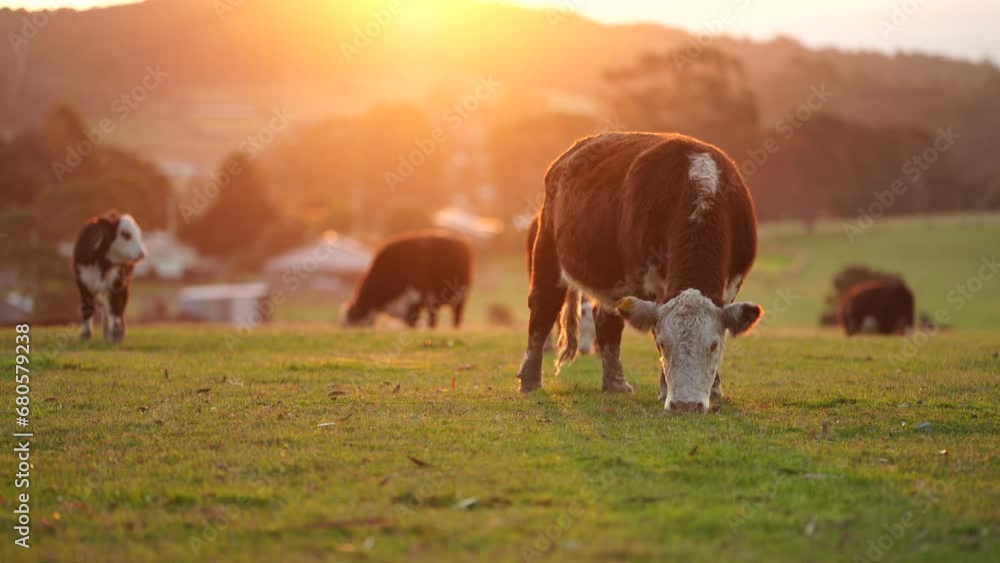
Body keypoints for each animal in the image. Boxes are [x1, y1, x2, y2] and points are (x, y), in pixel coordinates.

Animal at [73, 210, 148, 342]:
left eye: (138, 234)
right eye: (125, 234)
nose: (142, 254)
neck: (101, 261)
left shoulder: (117, 282)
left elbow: (116, 307)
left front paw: (117, 335)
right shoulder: (83, 282)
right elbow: (87, 308)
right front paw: (85, 335)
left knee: (117, 307)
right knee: (105, 307)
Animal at [343, 231, 472, 328]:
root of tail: (462, 241)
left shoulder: (417, 296)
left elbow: (412, 322)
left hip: (460, 297)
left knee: (456, 317)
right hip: (435, 302)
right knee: (433, 319)